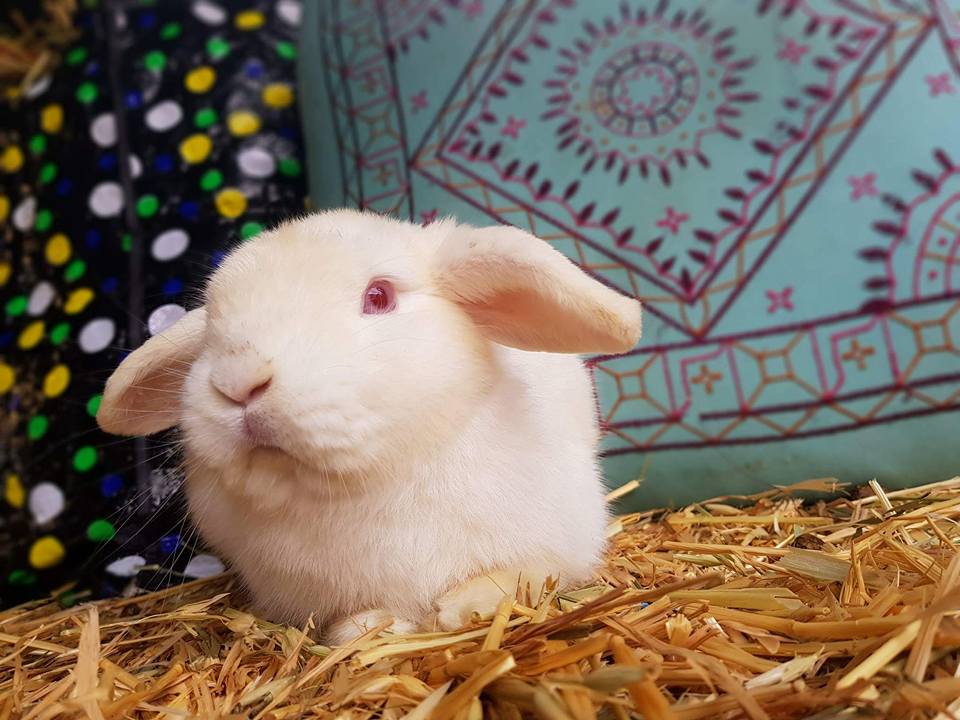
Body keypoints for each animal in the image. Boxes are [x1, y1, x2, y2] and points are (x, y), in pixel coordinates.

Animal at [96, 209, 641, 645]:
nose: (237, 380)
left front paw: (467, 608)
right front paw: (371, 629)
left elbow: (524, 574)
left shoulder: (562, 543)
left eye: (379, 296)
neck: (363, 483)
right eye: (211, 325)